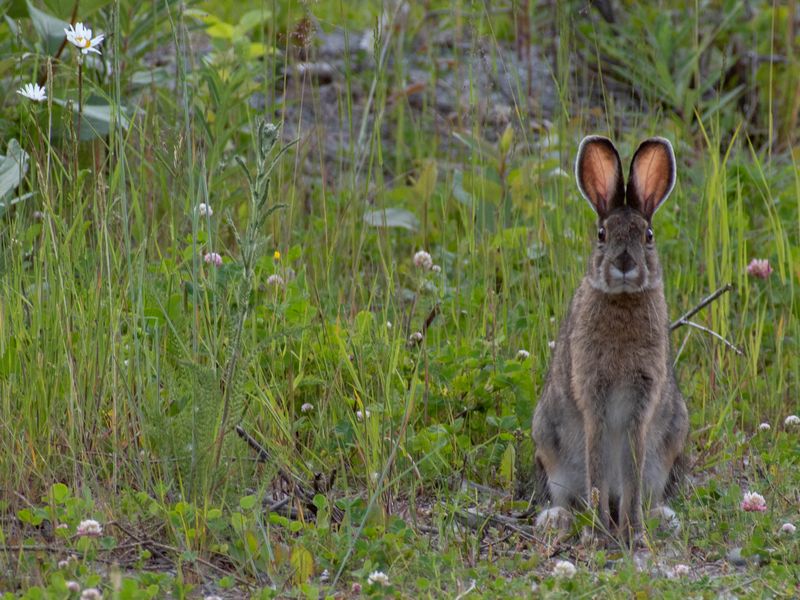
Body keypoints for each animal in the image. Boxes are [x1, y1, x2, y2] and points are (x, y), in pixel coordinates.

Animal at [531, 136, 689, 542]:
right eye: (601, 235)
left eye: (648, 236)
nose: (623, 263)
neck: (622, 299)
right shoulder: (594, 395)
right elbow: (597, 465)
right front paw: (600, 532)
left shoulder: (641, 400)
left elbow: (631, 467)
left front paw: (633, 532)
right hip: (550, 443)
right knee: (566, 494)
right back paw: (559, 519)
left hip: (668, 441)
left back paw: (658, 518)